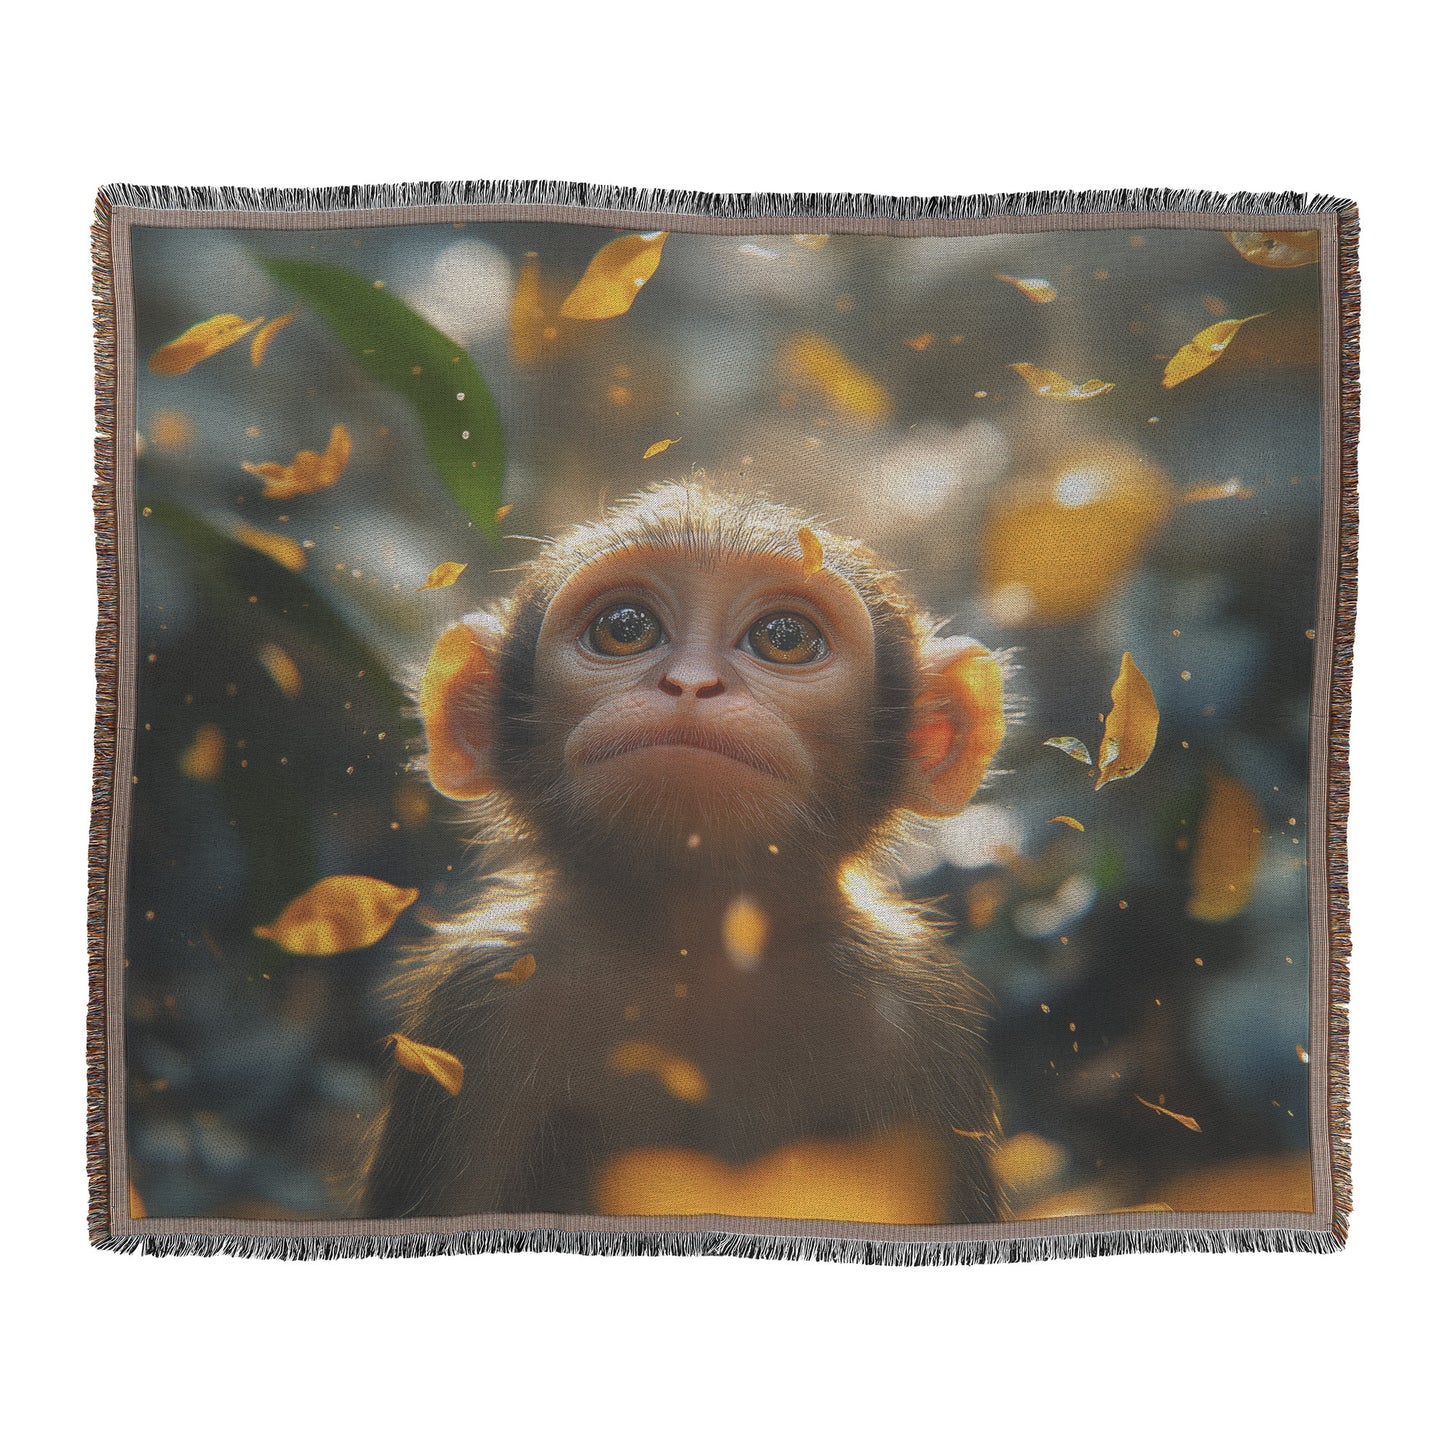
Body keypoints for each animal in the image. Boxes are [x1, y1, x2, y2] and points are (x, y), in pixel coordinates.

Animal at [361, 481, 1010, 1226]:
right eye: (624, 627)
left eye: (784, 638)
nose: (691, 683)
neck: (696, 955)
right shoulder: (477, 1002)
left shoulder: (915, 1024)